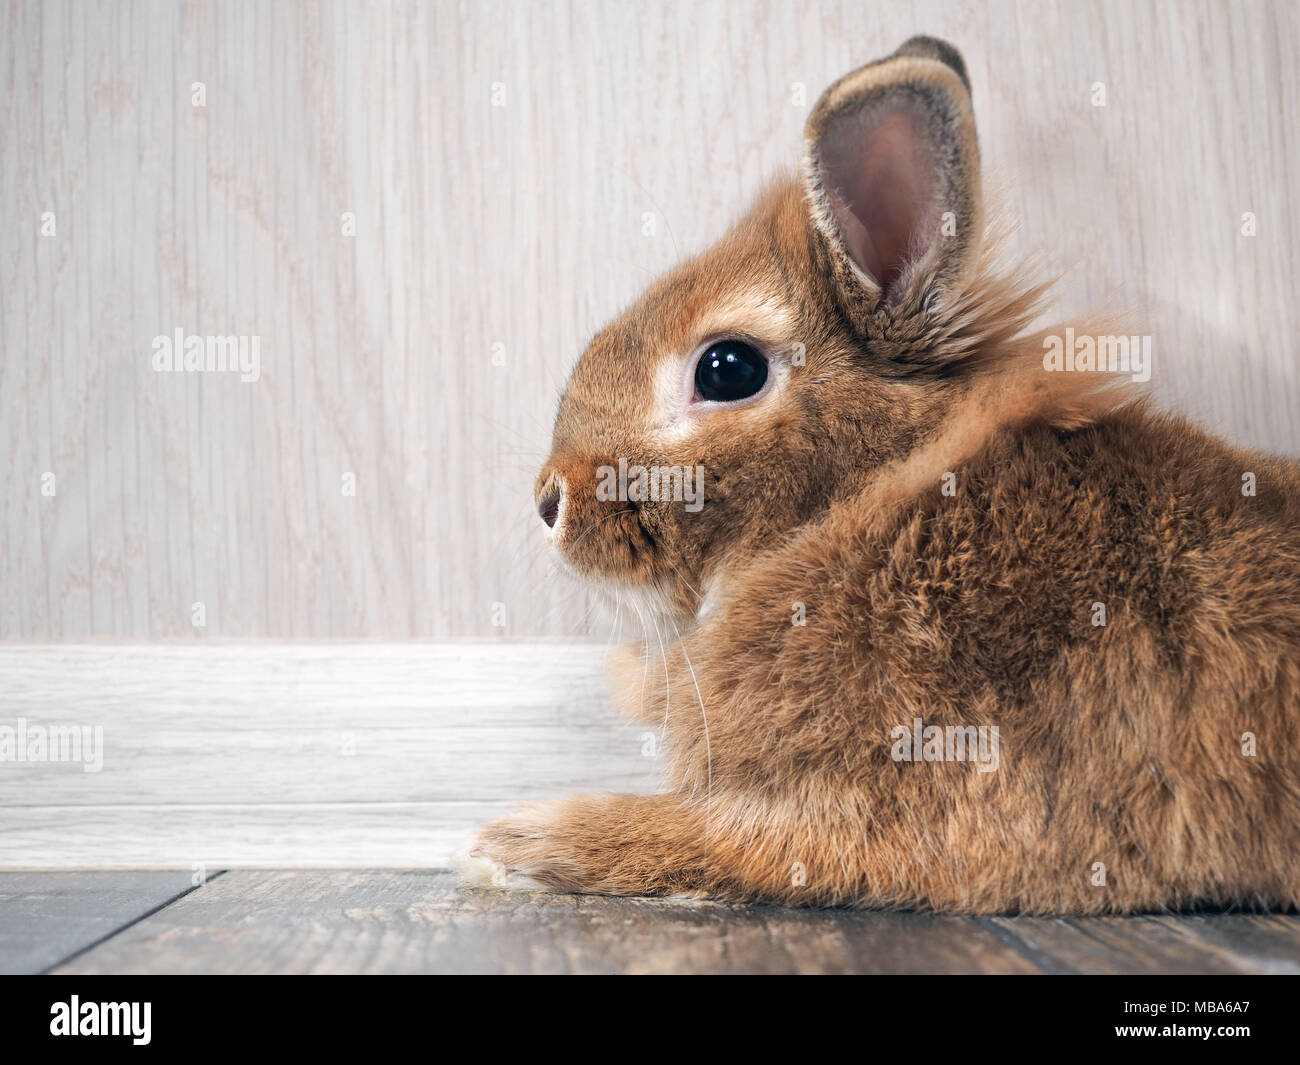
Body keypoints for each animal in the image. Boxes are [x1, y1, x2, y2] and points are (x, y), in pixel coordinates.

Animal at [462, 36, 1300, 913]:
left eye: (727, 369)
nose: (548, 501)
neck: (876, 497)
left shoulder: (868, 805)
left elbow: (693, 837)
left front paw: (517, 842)